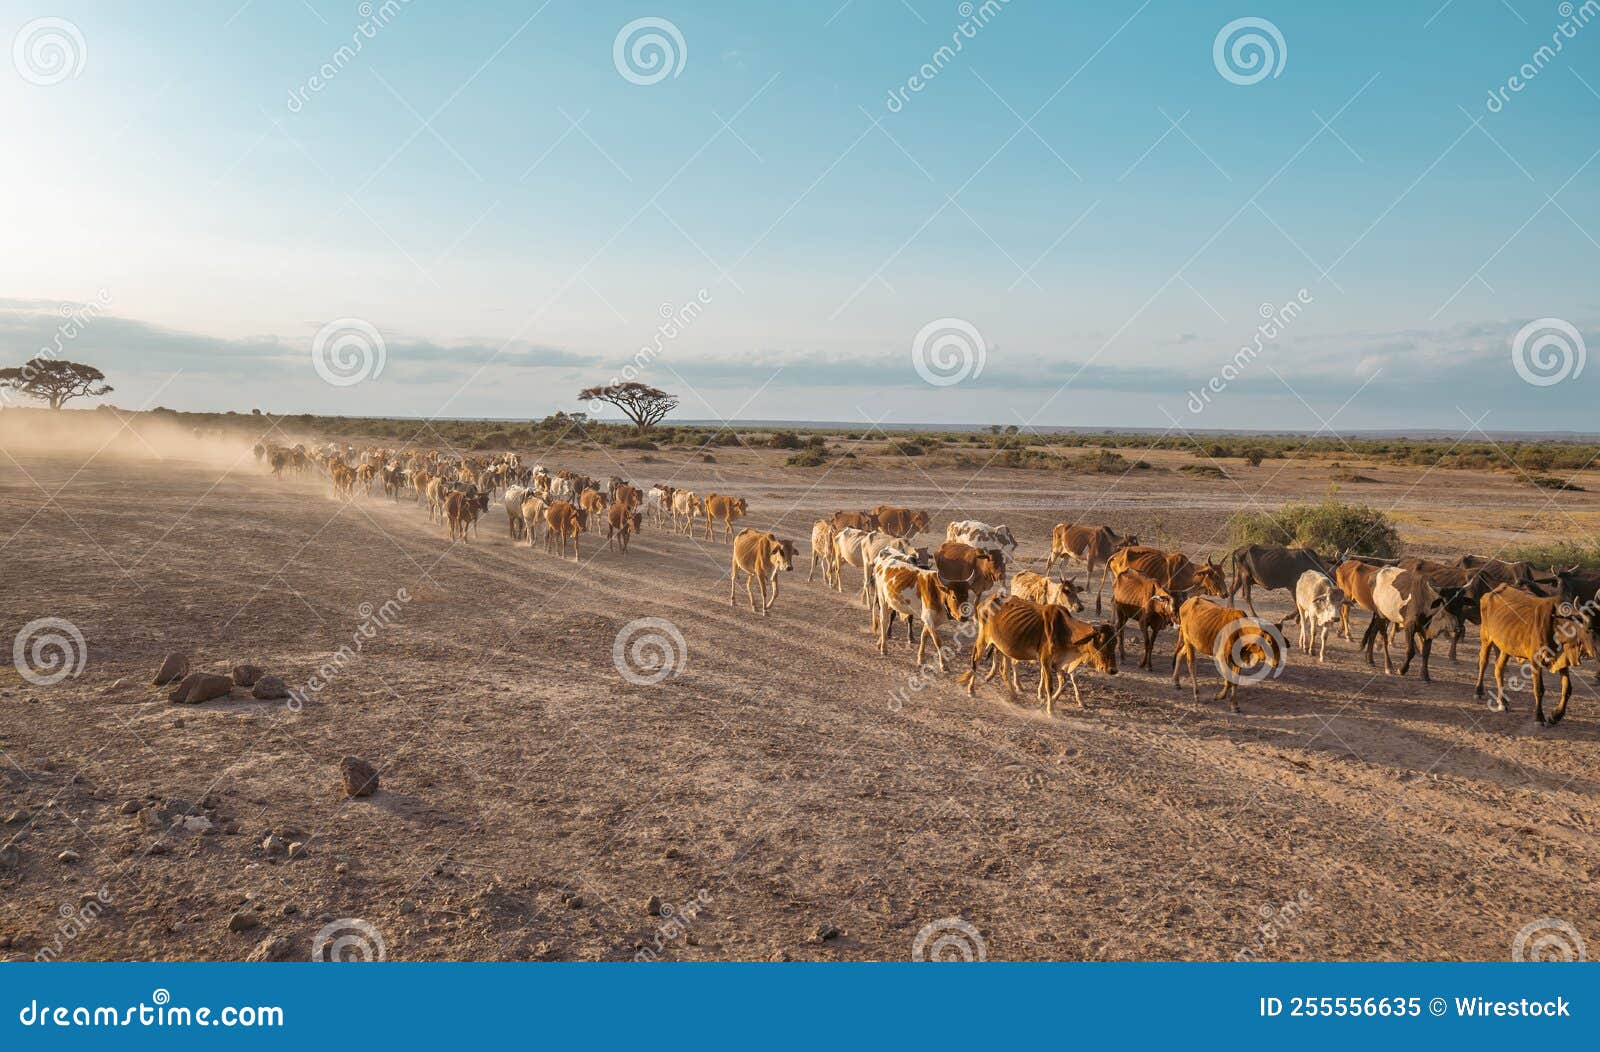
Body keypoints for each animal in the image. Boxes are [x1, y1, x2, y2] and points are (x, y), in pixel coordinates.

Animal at [961, 597, 1117, 716]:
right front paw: (1050, 709)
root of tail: (986, 601)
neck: (1066, 631)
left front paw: (1050, 701)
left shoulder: (1059, 663)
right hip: (983, 639)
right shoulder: (1046, 660)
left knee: (1004, 670)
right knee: (975, 661)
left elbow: (1063, 683)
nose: (1113, 670)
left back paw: (1013, 696)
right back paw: (971, 689)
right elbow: (1050, 685)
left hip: (1003, 648)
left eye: (1115, 643)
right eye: (1102, 643)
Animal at [1475, 583, 1599, 725]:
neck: (1557, 624)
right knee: (1483, 662)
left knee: (1499, 669)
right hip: (1486, 638)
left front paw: (1555, 715)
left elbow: (1567, 689)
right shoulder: (1536, 661)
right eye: (1589, 628)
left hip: (1506, 647)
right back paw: (1479, 691)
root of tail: (1492, 592)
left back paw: (1502, 701)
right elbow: (1539, 689)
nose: (1597, 653)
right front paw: (1539, 717)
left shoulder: (1562, 660)